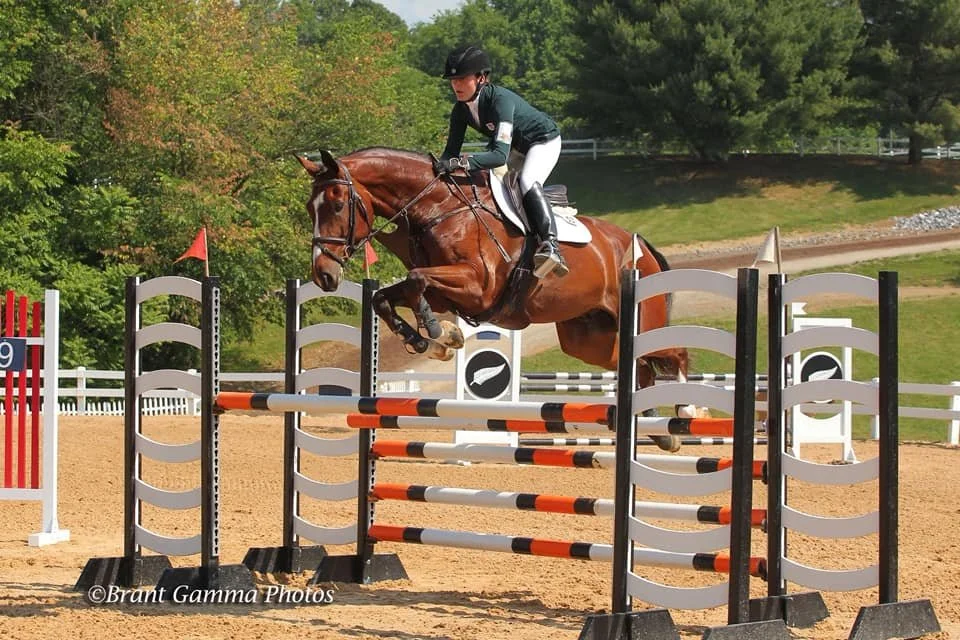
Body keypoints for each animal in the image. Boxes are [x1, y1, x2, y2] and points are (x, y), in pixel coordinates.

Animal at [297, 147, 692, 449]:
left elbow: (414, 279)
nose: (324, 275)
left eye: (336, 205)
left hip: (642, 320)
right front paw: (433, 340)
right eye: (308, 208)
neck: (438, 207)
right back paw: (658, 428)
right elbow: (387, 295)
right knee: (640, 365)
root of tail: (639, 245)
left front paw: (439, 334)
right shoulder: (445, 296)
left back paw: (684, 412)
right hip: (586, 340)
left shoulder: (477, 287)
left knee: (672, 354)